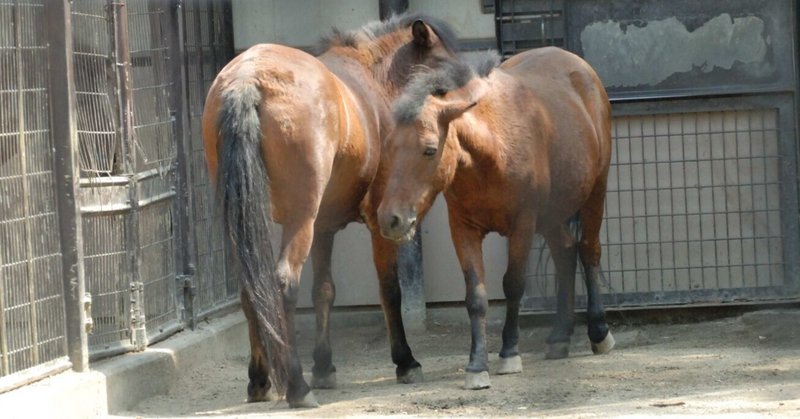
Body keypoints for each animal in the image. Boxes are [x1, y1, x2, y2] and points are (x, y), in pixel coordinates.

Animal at [202, 14, 458, 407]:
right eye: (441, 81)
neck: (375, 82)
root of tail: (248, 81)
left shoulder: (323, 226)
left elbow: (323, 290)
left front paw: (324, 366)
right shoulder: (379, 221)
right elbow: (390, 289)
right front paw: (405, 361)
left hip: (248, 220)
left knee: (252, 288)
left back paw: (260, 380)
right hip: (300, 218)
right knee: (282, 284)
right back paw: (296, 386)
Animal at [371, 47, 616, 390]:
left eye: (429, 150)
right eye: (389, 149)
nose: (389, 218)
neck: (492, 150)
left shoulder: (523, 226)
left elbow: (513, 285)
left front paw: (509, 352)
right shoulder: (463, 230)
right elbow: (476, 297)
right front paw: (476, 365)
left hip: (596, 191)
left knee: (589, 251)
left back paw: (598, 332)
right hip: (551, 214)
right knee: (566, 252)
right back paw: (559, 336)